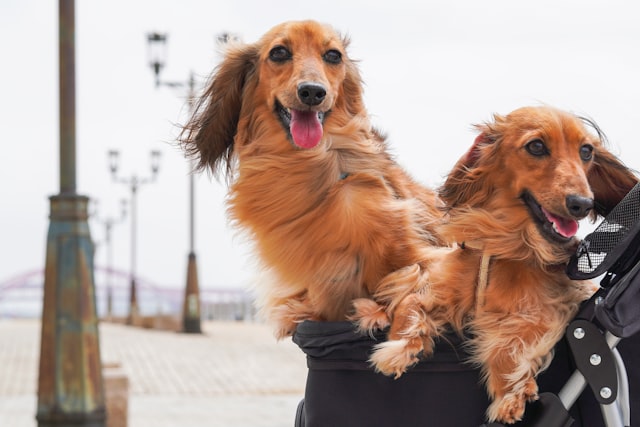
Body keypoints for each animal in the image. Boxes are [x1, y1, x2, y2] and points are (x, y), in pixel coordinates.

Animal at [178, 20, 442, 340]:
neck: (304, 164)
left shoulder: (416, 251)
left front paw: (388, 324)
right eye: (279, 52)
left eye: (333, 55)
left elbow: (413, 288)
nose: (313, 92)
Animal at [352, 106, 636, 424]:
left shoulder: (555, 310)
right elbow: (409, 301)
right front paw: (400, 347)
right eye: (536, 146)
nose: (582, 204)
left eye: (586, 151)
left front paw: (510, 392)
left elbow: (511, 342)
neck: (508, 245)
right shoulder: (435, 279)